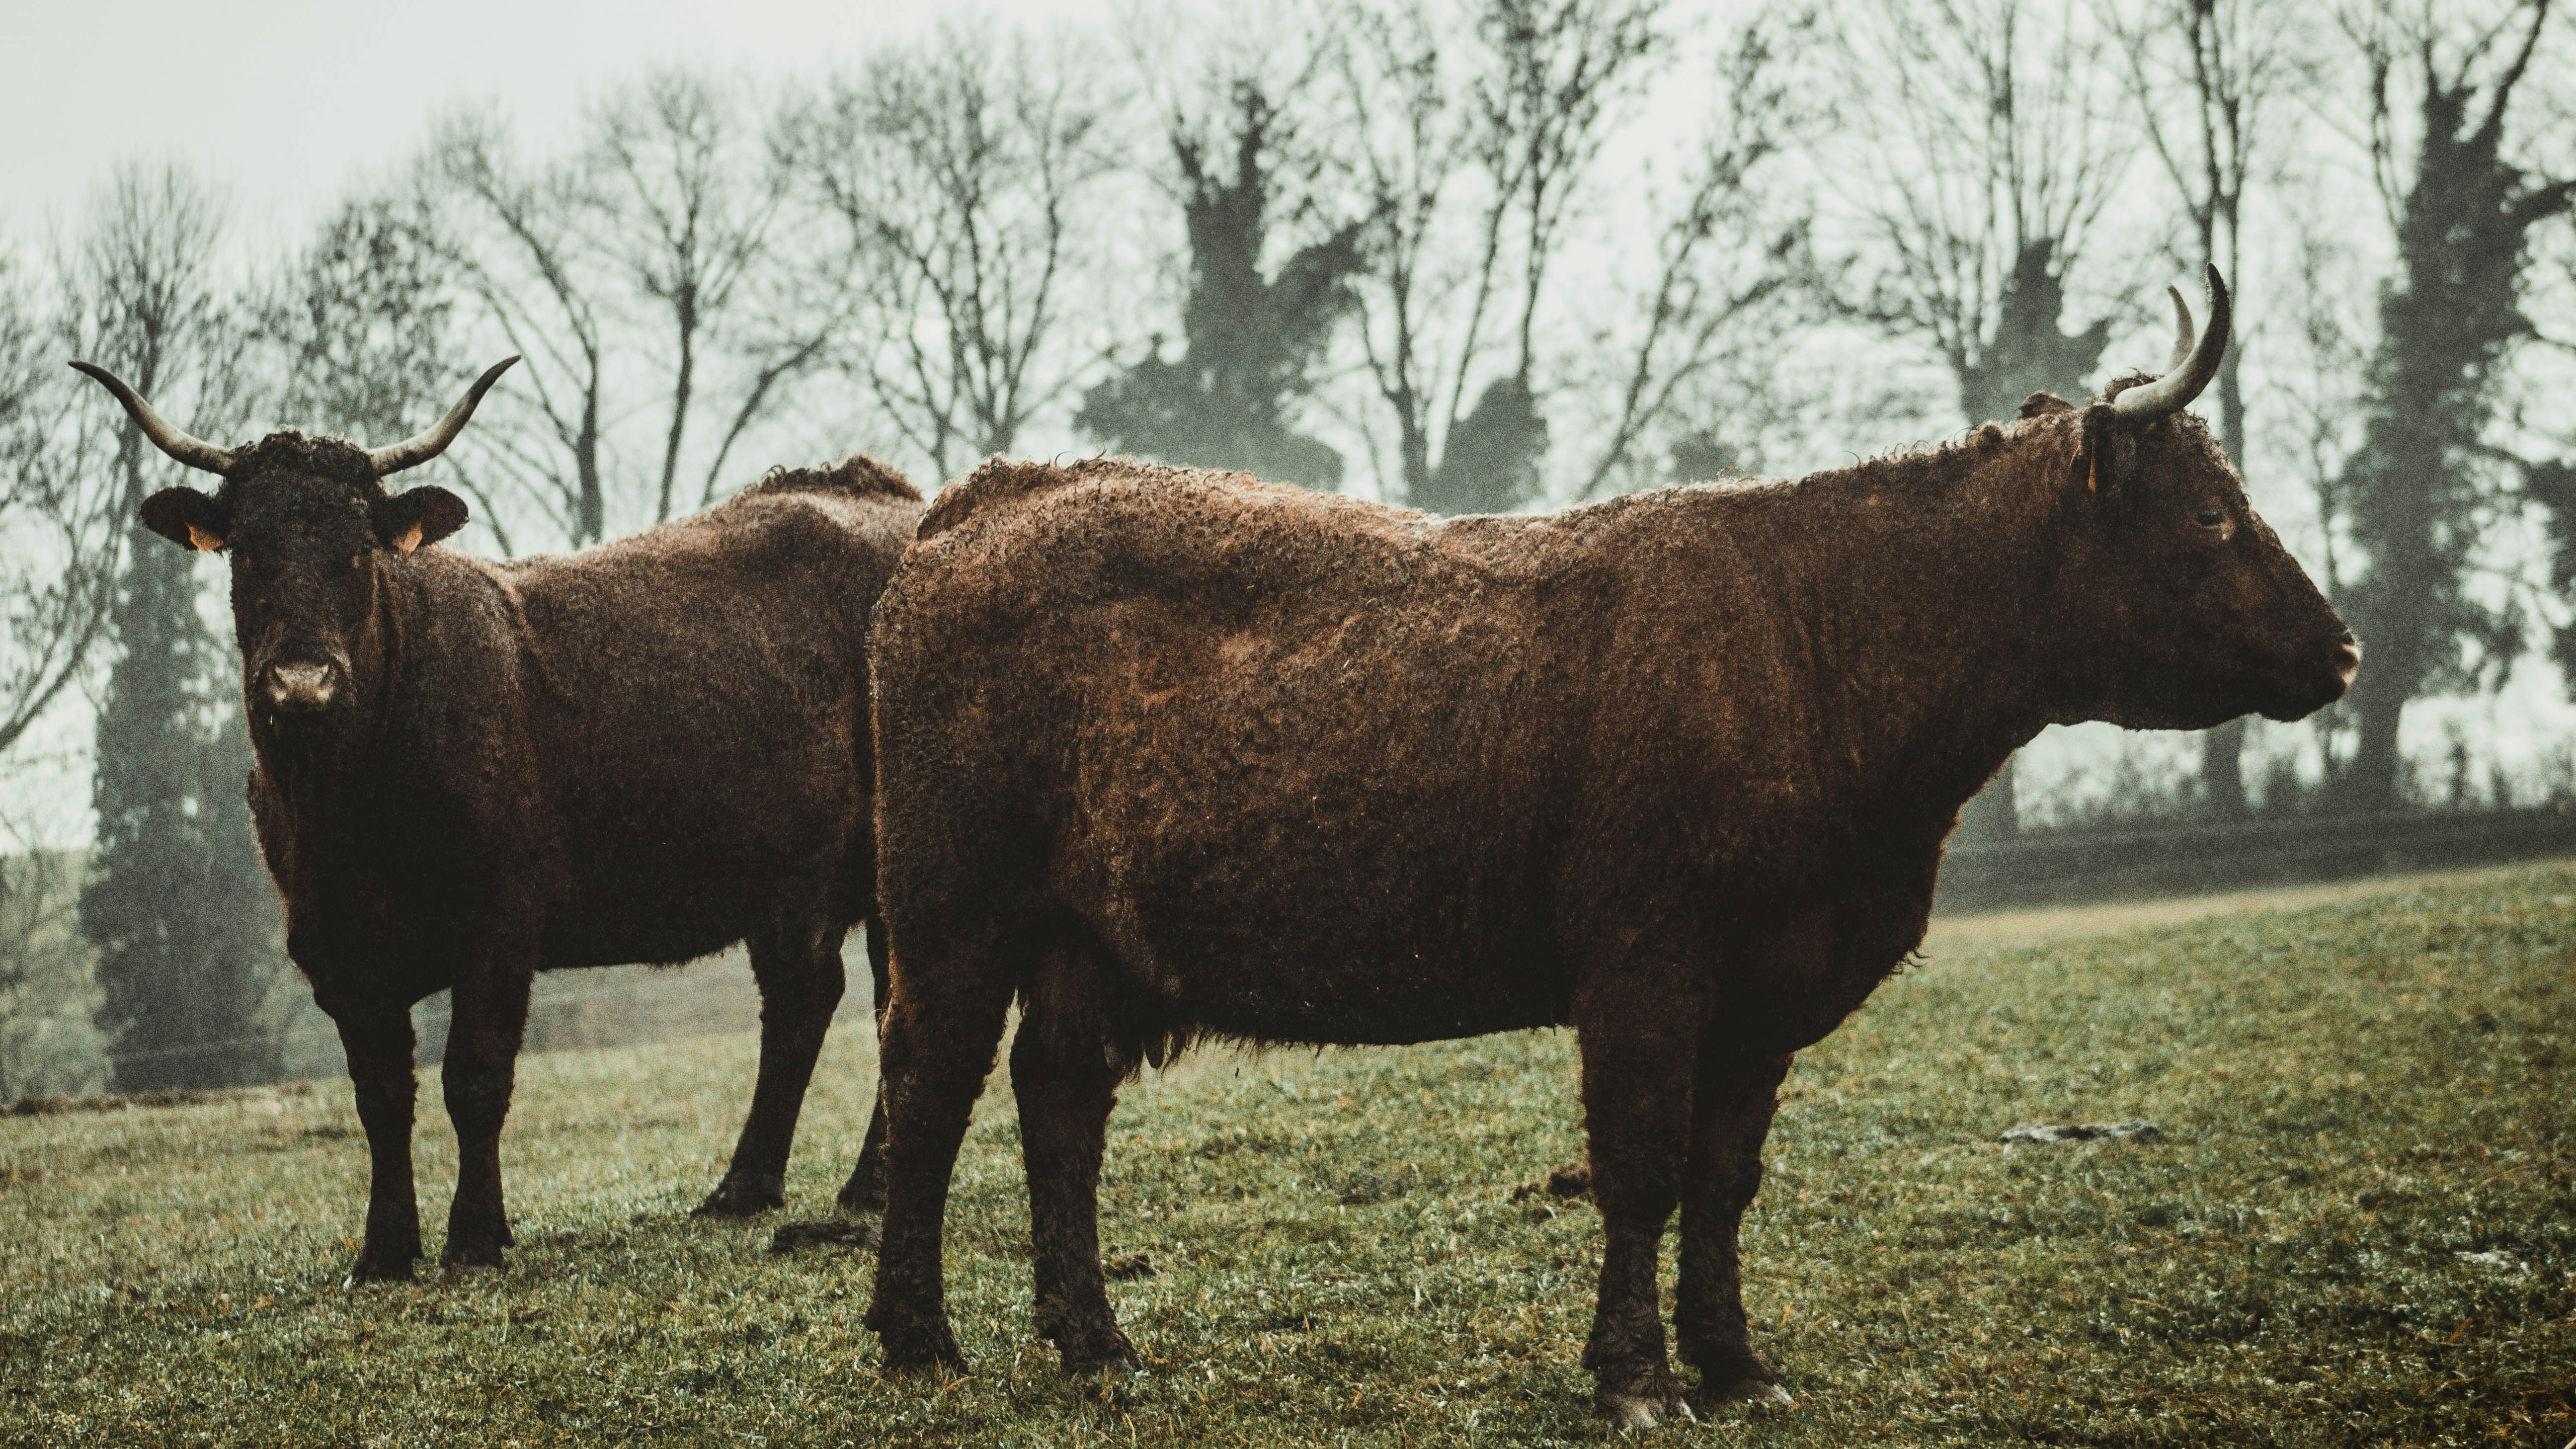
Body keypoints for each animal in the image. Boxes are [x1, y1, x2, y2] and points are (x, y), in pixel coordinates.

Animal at [73, 357, 920, 1280]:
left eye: (356, 550)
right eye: (248, 552)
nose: (302, 683)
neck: (345, 806)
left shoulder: (500, 922)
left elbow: (474, 1077)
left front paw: (476, 1235)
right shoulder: (335, 950)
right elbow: (381, 1097)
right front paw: (385, 1250)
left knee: (887, 1002)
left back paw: (866, 1183)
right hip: (788, 878)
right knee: (806, 999)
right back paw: (749, 1185)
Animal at [853, 268, 2360, 1421]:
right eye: (2212, 515)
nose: (2342, 647)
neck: (1822, 643)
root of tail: (989, 498)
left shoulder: (1764, 989)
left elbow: (1722, 1177)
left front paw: (1738, 1363)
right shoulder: (1648, 960)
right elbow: (1637, 1165)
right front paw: (1636, 1376)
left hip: (1081, 940)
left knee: (1058, 1103)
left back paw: (1096, 1344)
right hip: (950, 912)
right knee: (929, 1095)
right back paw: (921, 1343)